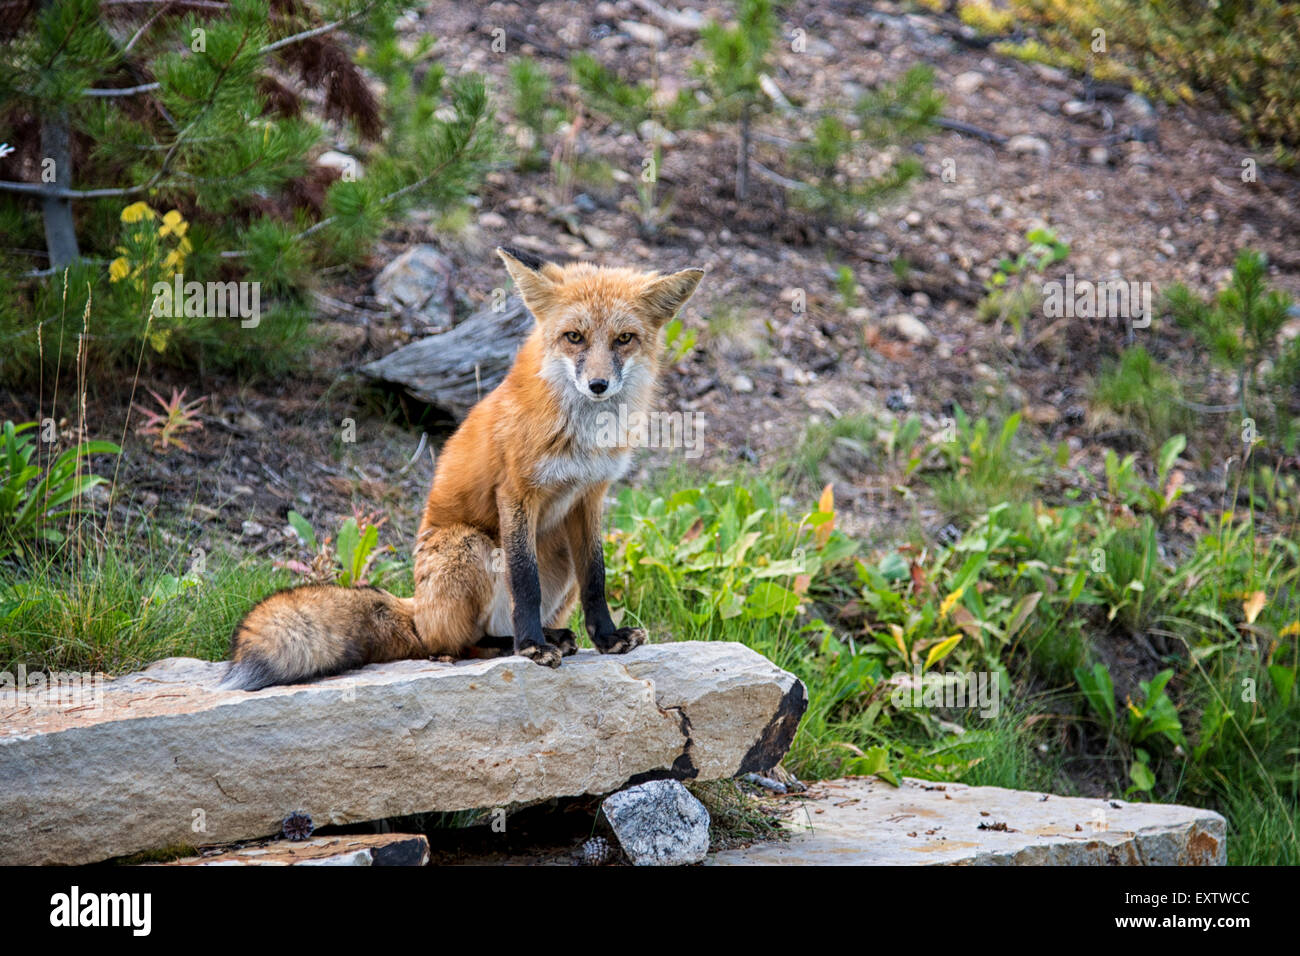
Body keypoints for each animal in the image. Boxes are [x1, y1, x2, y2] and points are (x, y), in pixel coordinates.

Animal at [221, 246, 704, 691]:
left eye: (624, 339)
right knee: (454, 643)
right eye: (574, 337)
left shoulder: (589, 496)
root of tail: (417, 611)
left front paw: (606, 638)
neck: (584, 435)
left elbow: (596, 578)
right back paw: (512, 644)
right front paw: (531, 648)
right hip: (468, 545)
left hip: (558, 551)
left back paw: (553, 635)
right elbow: (524, 582)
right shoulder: (516, 492)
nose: (598, 385)